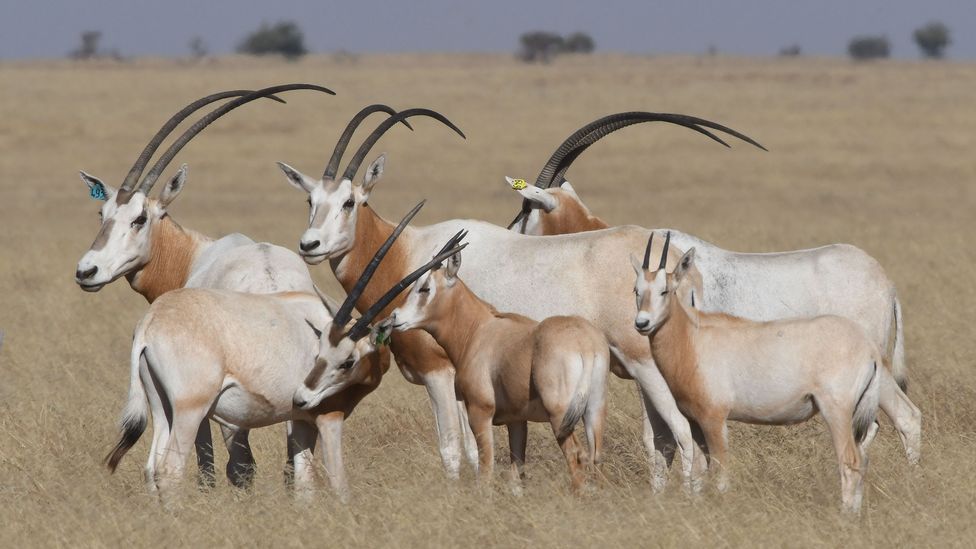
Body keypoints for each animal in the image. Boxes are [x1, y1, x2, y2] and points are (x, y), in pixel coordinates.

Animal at [75, 84, 337, 488]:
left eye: (139, 218)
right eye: (102, 214)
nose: (87, 271)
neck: (194, 254)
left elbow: (207, 463)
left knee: (240, 464)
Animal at [104, 201, 445, 500]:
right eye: (343, 360)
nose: (301, 396)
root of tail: (151, 323)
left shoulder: (302, 422)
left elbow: (304, 481)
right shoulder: (327, 419)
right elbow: (338, 483)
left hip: (162, 407)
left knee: (152, 468)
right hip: (191, 410)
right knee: (170, 471)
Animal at [381, 235, 610, 492]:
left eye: (425, 287)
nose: (394, 319)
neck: (479, 329)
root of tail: (585, 343)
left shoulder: (480, 413)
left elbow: (485, 469)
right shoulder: (517, 421)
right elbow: (516, 475)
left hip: (559, 416)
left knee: (575, 455)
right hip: (593, 410)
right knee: (595, 456)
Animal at [504, 112, 920, 465]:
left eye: (525, 209)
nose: (507, 233)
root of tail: (886, 283)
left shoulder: (648, 366)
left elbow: (659, 439)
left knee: (907, 417)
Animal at [633, 232, 884, 513]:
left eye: (665, 290)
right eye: (637, 291)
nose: (642, 323)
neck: (693, 337)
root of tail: (868, 348)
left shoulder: (715, 420)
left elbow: (721, 476)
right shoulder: (695, 422)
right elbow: (698, 474)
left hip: (836, 412)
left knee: (850, 462)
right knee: (862, 460)